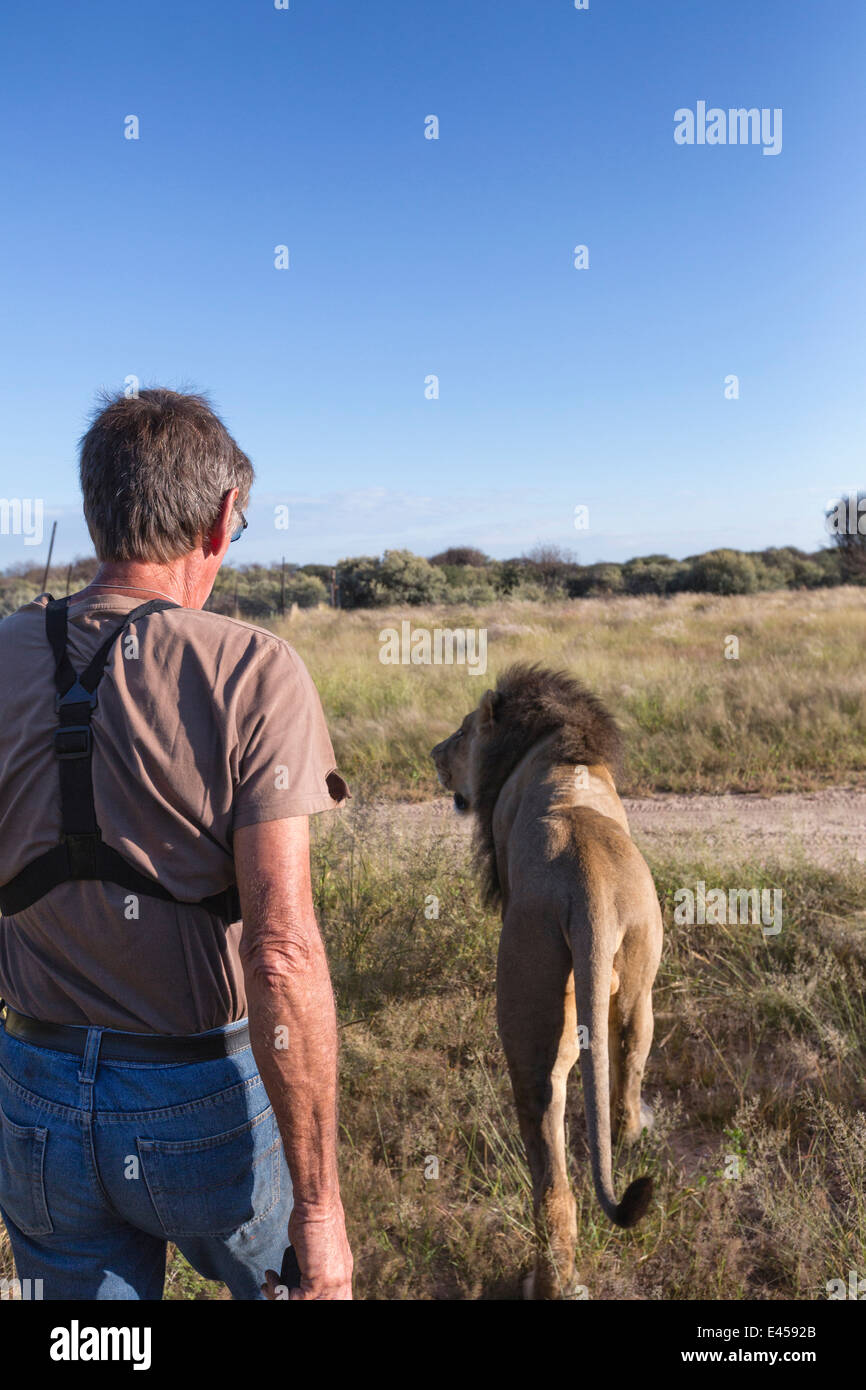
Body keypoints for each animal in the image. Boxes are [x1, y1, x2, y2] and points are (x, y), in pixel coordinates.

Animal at [431, 664, 663, 1299]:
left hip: (529, 1006)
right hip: (640, 972)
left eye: (463, 733)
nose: (433, 754)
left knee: (550, 1159)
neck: (552, 745)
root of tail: (589, 887)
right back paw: (630, 1133)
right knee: (630, 1052)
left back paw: (548, 1276)